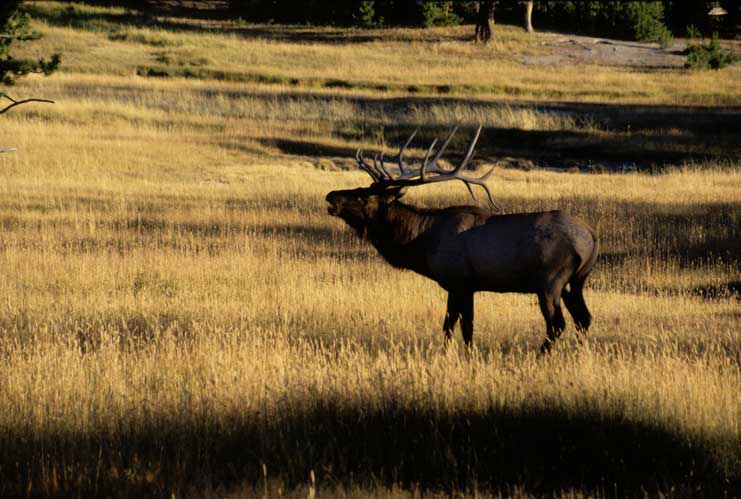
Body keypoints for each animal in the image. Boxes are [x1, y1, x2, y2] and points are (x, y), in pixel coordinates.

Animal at [325, 125, 599, 354]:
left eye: (363, 195)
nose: (330, 195)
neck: (421, 244)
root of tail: (592, 236)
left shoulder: (458, 281)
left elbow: (453, 325)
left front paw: (453, 355)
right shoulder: (468, 286)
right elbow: (464, 326)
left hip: (550, 280)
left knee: (557, 324)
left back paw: (540, 356)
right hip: (575, 281)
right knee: (583, 319)